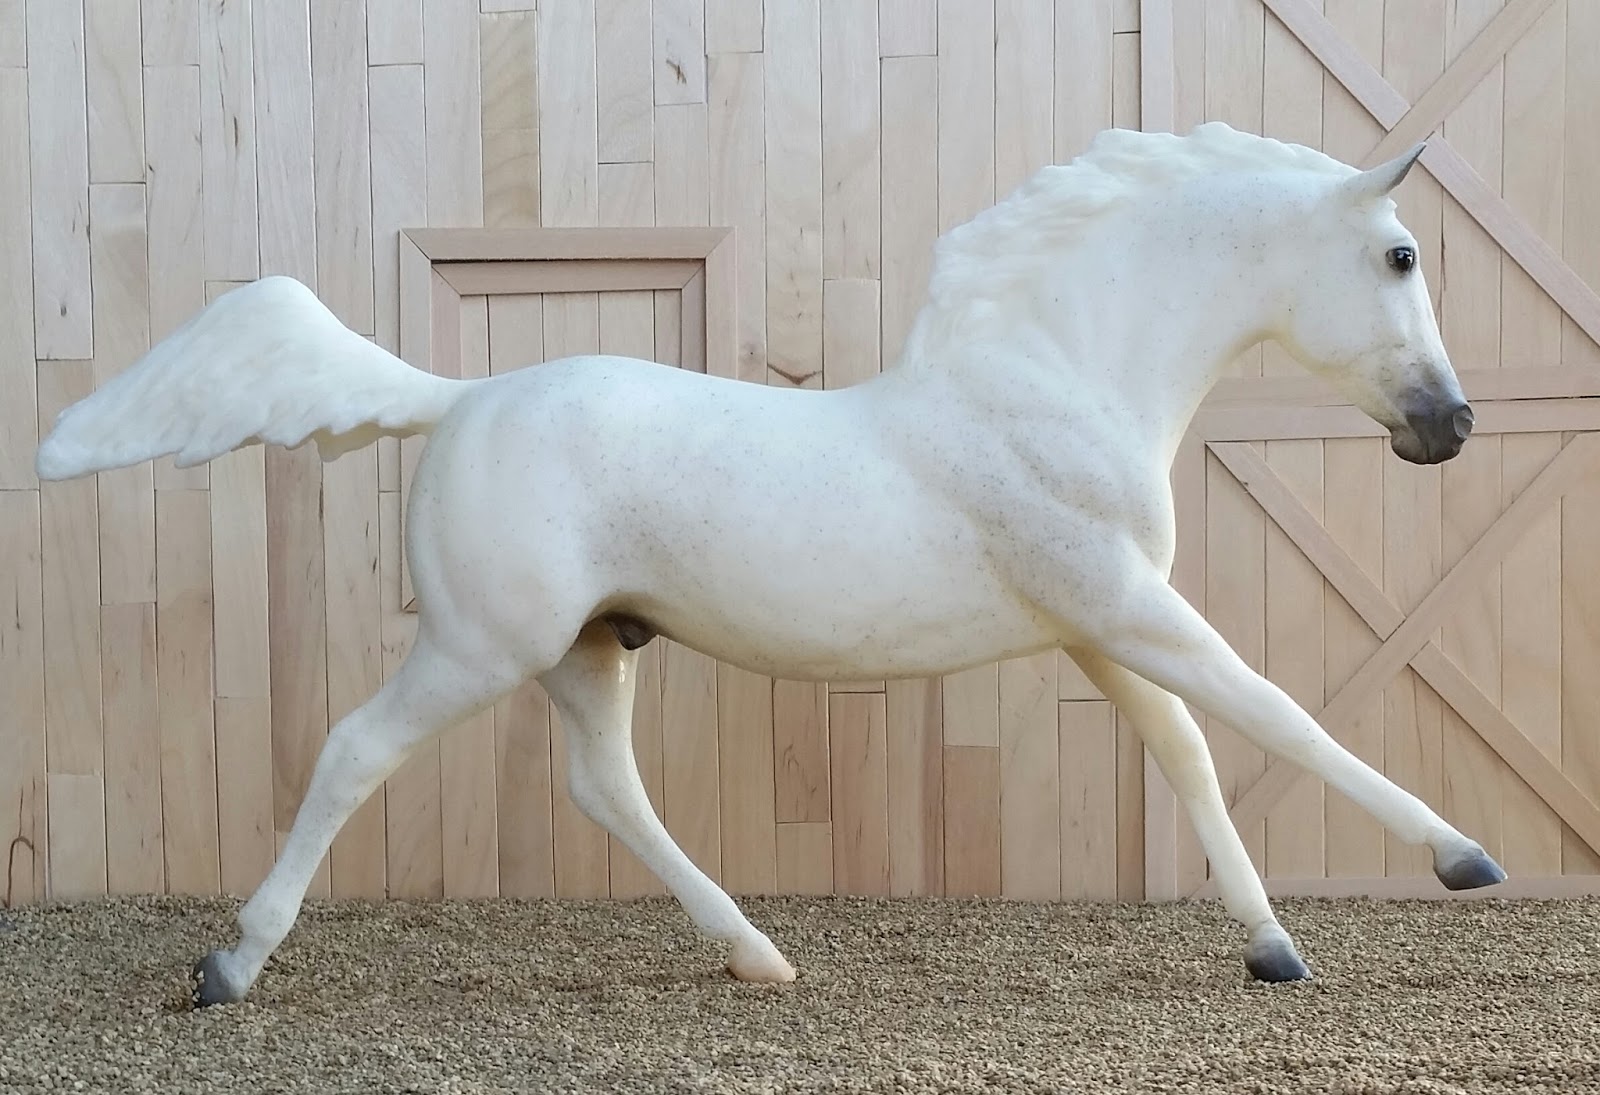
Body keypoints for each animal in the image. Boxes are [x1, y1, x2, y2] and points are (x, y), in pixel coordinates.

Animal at [36, 122, 1503, 1008]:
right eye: (1399, 252)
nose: (1450, 425)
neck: (1056, 377)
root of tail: (456, 400)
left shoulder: (1097, 624)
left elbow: (1192, 750)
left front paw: (1274, 946)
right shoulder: (1127, 608)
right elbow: (1279, 716)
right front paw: (1462, 860)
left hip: (586, 650)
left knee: (605, 786)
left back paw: (760, 954)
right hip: (479, 645)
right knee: (352, 752)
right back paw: (230, 964)